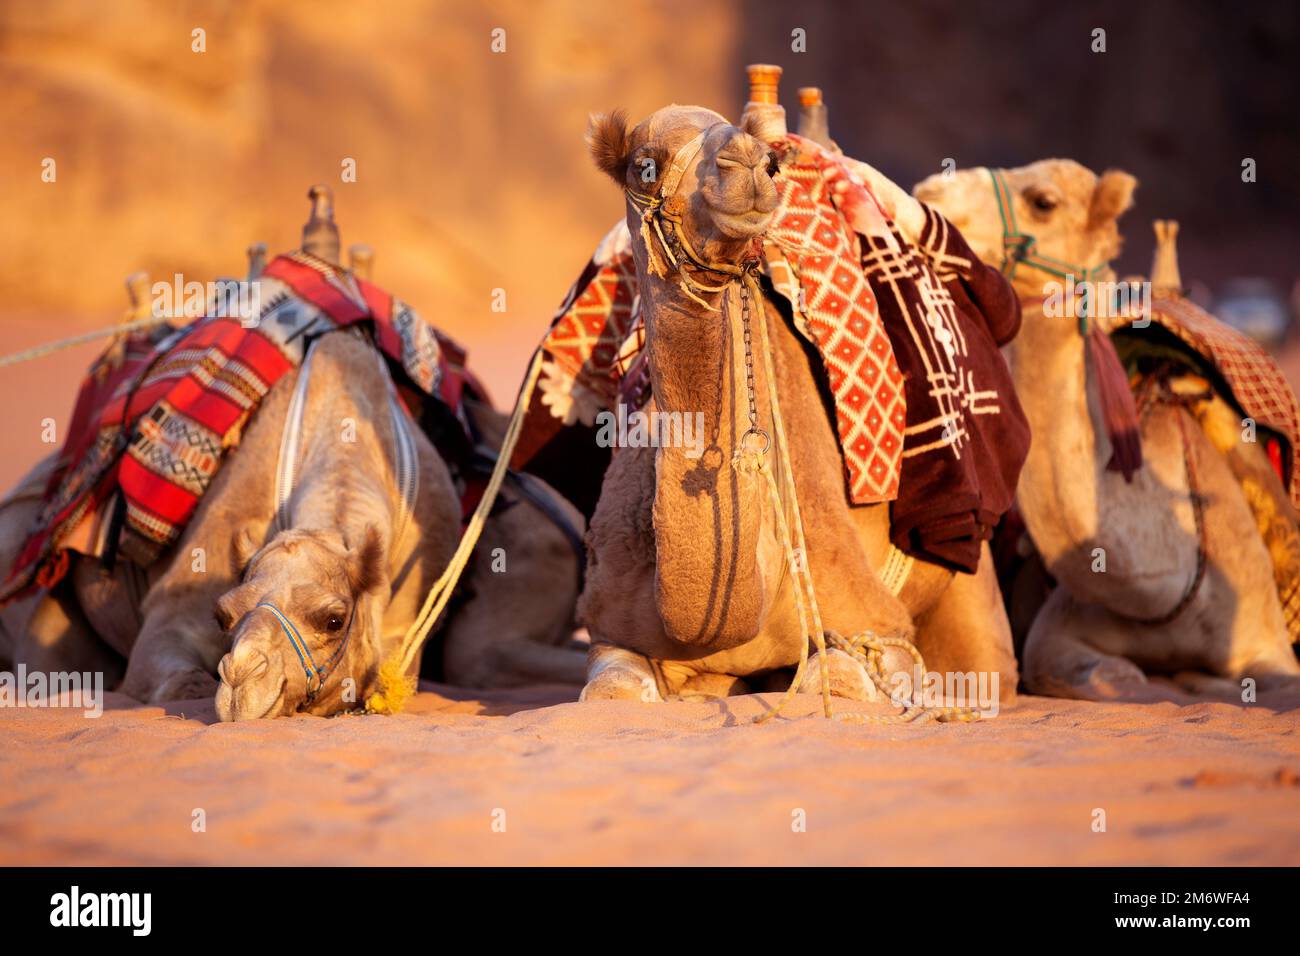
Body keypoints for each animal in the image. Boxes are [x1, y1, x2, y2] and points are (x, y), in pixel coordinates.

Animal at [575, 105, 1017, 709]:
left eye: (766, 161)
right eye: (645, 166)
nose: (749, 163)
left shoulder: (876, 622)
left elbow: (840, 678)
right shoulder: (608, 626)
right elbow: (611, 691)